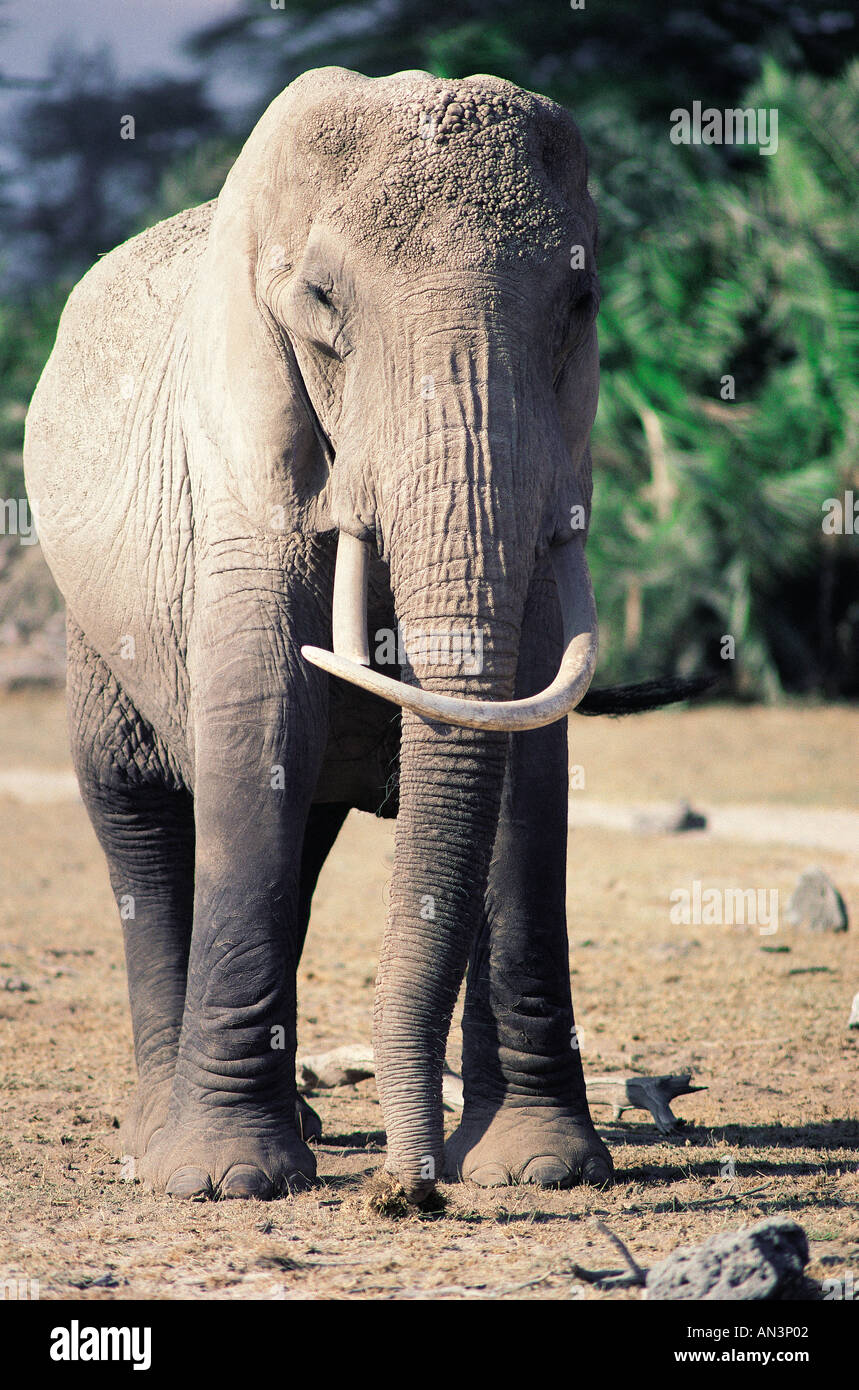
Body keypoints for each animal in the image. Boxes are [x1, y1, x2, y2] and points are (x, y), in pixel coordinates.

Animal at [24, 67, 703, 1204]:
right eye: (322, 308)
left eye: (580, 306)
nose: (408, 1188)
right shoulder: (238, 466)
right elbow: (259, 722)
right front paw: (226, 1183)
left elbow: (526, 737)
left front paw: (538, 1171)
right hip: (91, 622)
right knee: (138, 811)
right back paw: (158, 1137)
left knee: (297, 838)